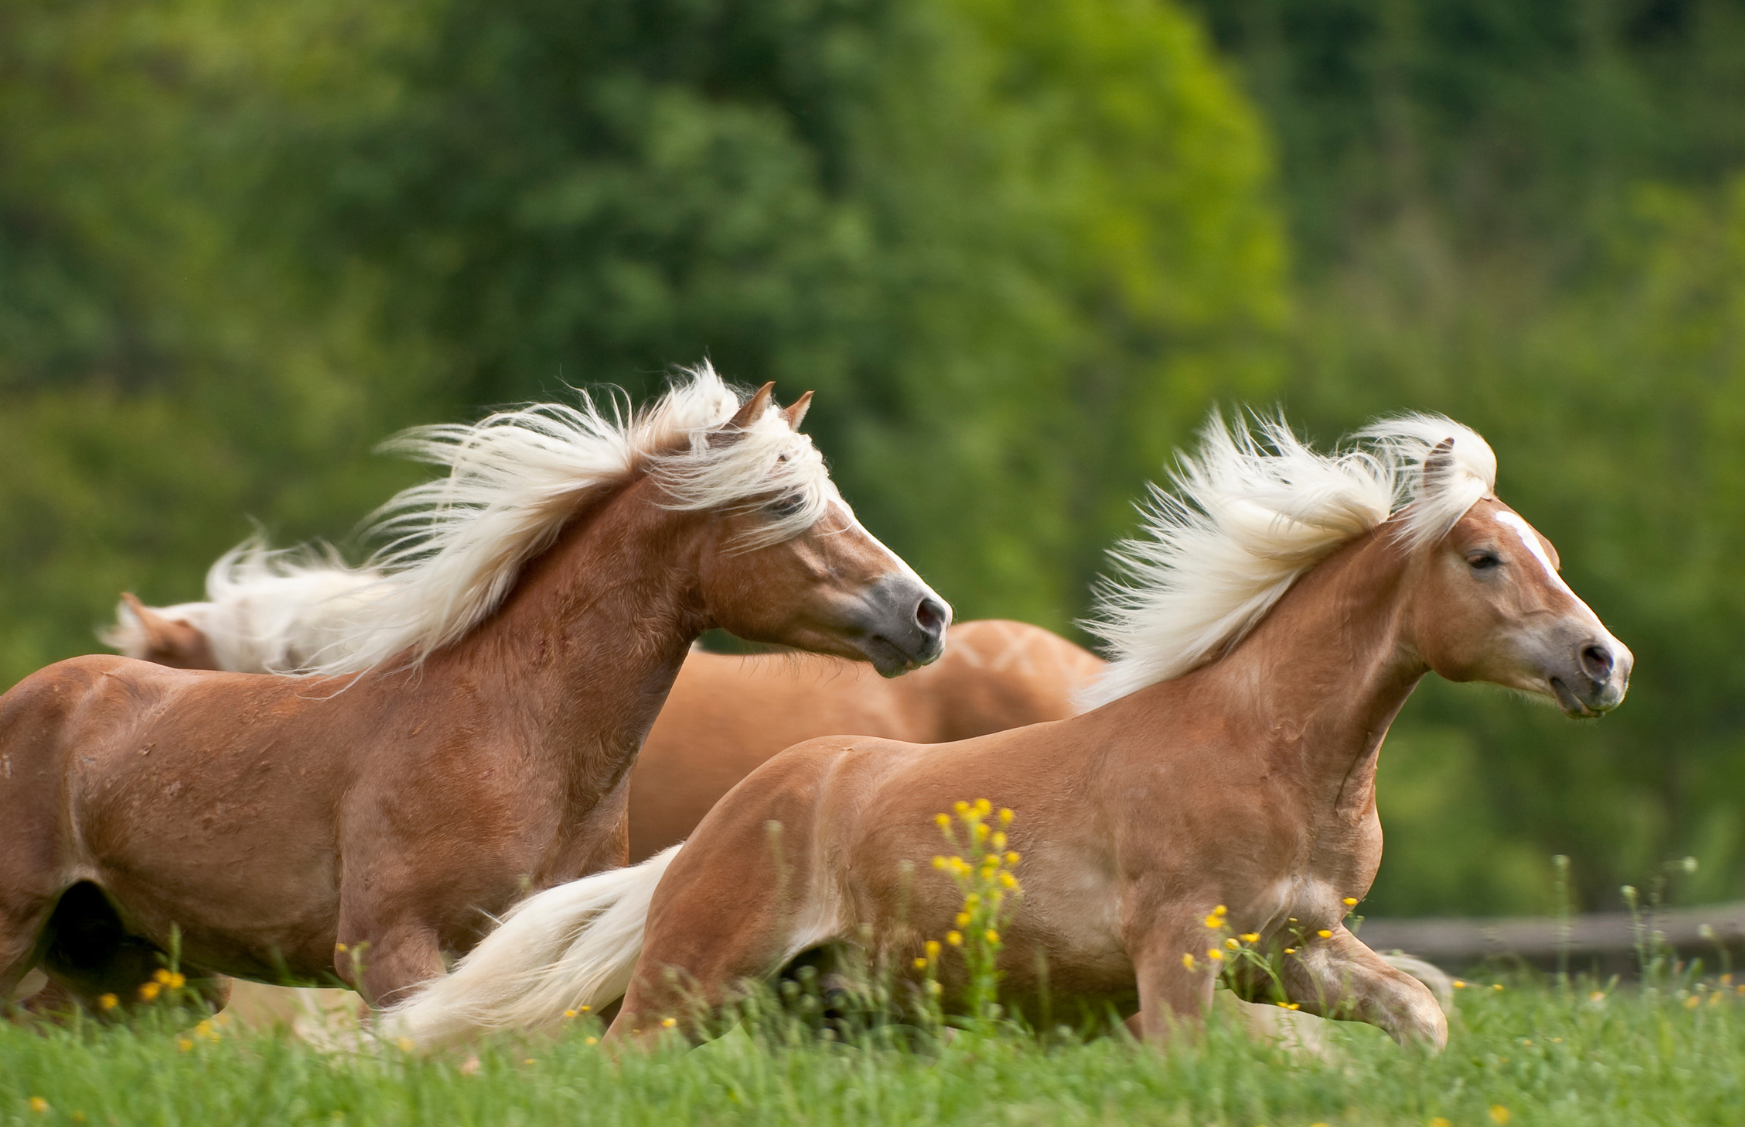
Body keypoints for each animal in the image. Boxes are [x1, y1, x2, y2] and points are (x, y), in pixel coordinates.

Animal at [375, 412, 1630, 1052]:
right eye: (1484, 556)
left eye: (1551, 553)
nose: (1601, 661)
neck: (1268, 750)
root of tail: (710, 831)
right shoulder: (1179, 950)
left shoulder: (1294, 947)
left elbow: (1417, 1010)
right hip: (690, 983)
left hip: (826, 1010)